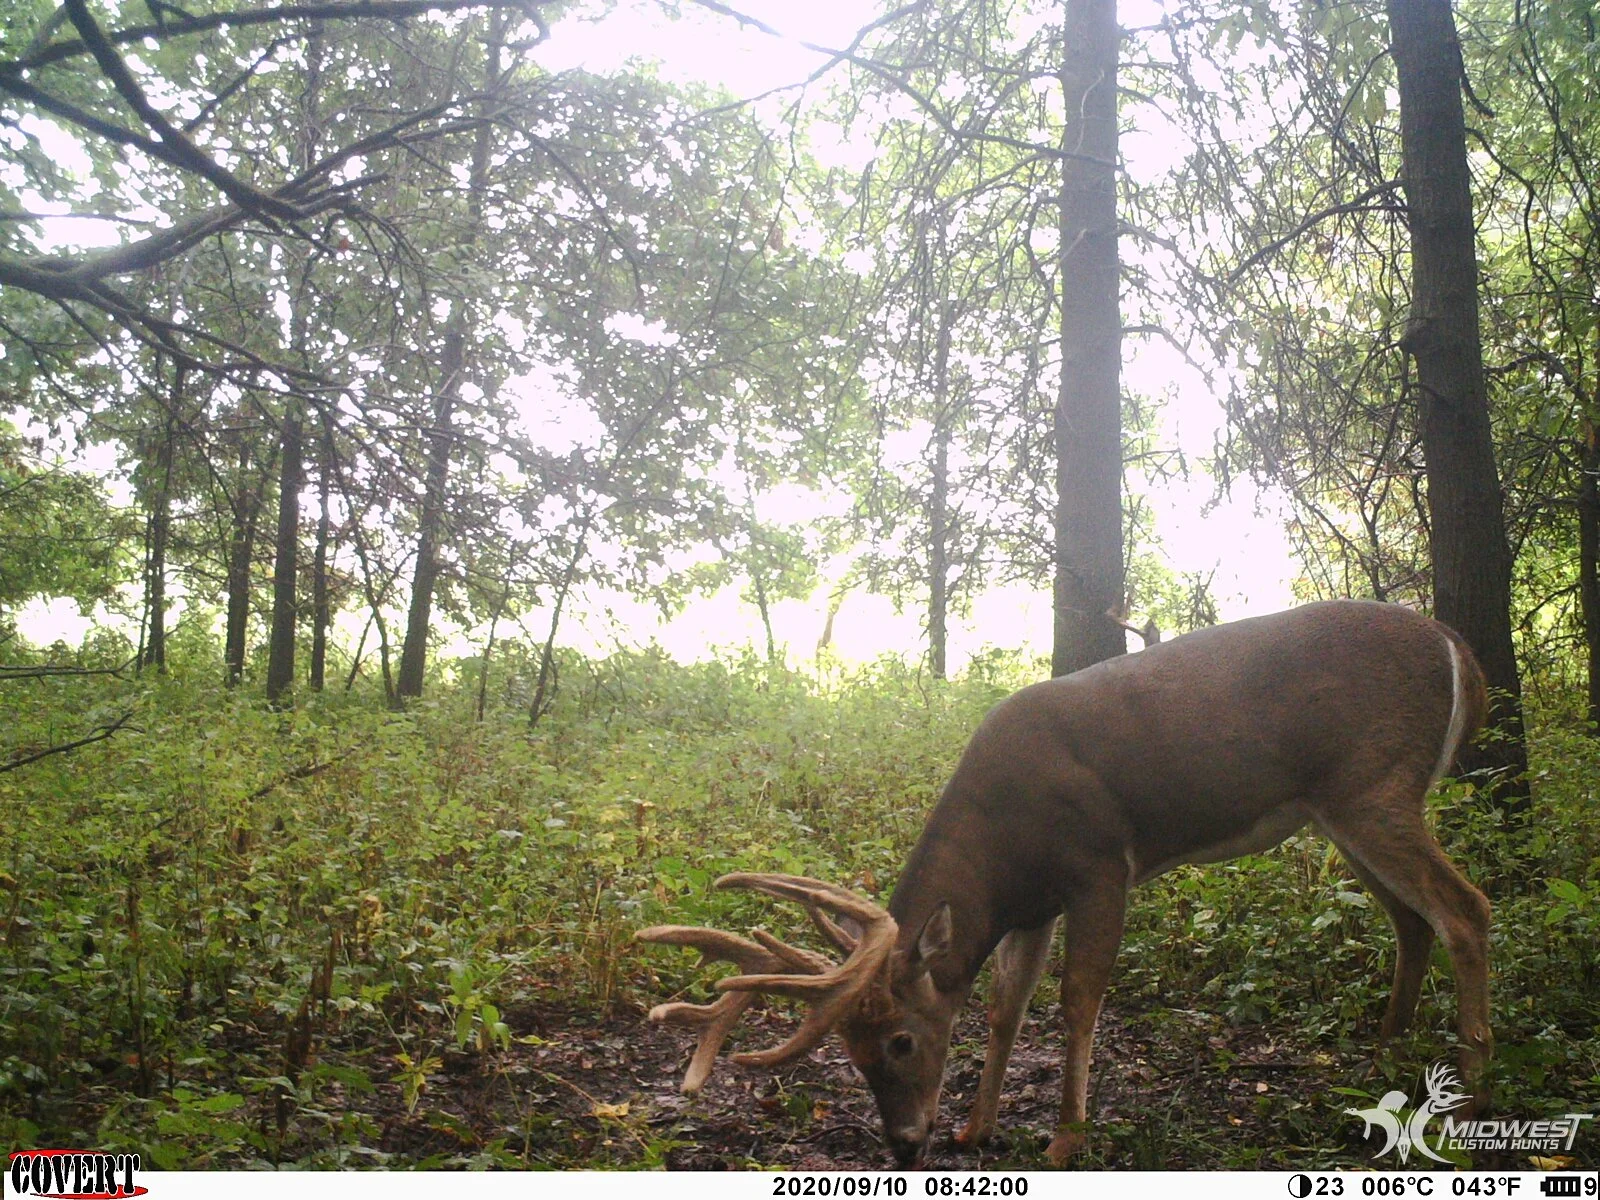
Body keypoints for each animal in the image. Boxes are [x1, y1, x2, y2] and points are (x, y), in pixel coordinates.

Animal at [637, 600, 1494, 1168]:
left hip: (1375, 786)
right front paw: (976, 1129)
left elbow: (1079, 1001)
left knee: (1467, 909)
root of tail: (1456, 645)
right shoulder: (1029, 907)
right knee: (1410, 921)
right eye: (848, 1052)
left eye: (901, 1040)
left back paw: (1474, 1096)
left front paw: (1065, 1137)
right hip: (1340, 811)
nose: (904, 1143)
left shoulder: (1099, 865)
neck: (1004, 844)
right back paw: (1384, 1063)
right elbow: (1003, 1009)